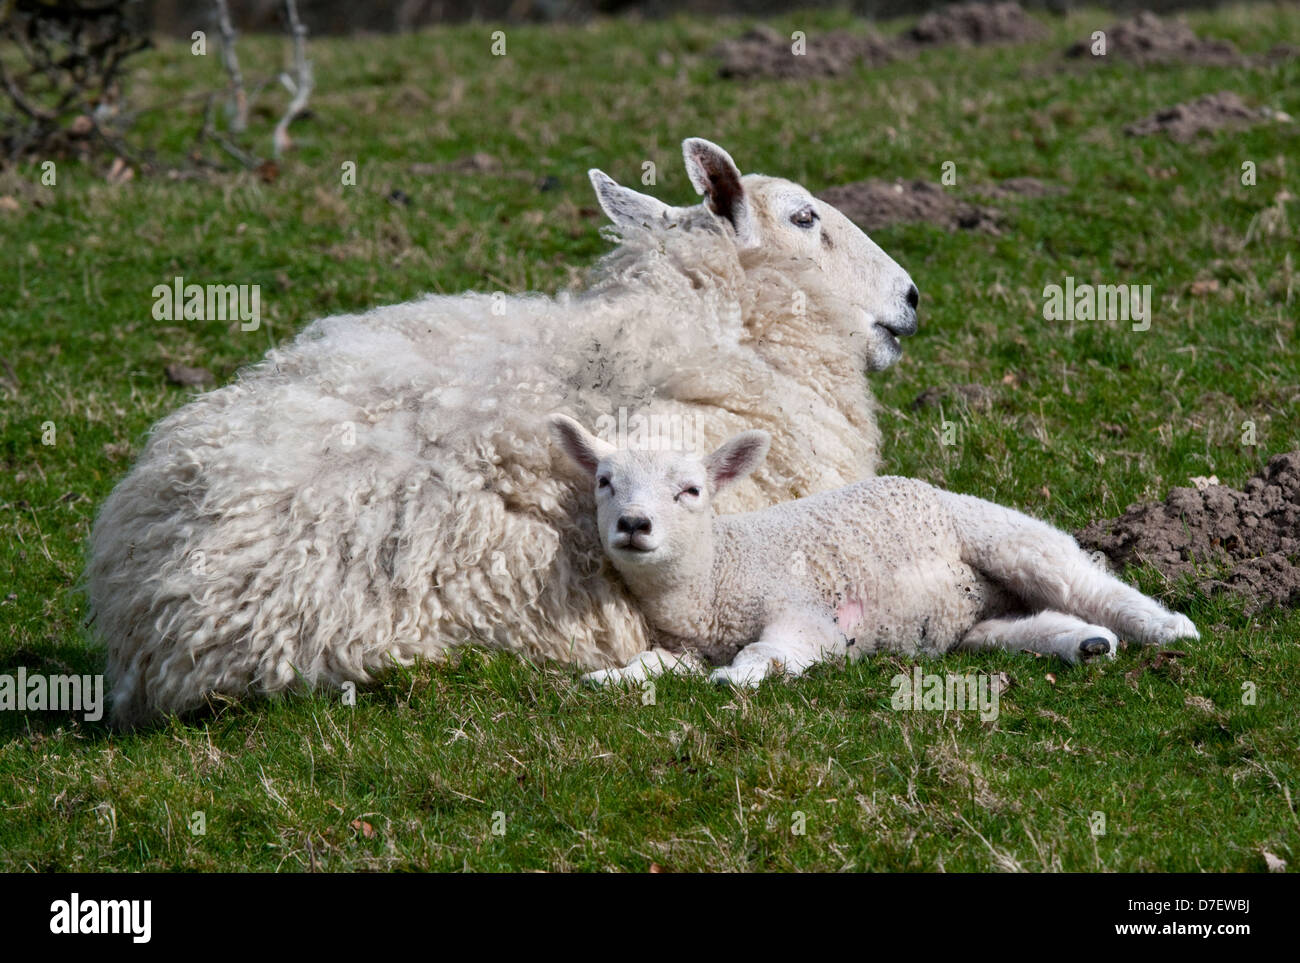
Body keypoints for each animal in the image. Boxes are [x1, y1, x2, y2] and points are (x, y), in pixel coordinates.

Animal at [548, 415, 1200, 687]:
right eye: (603, 482)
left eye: (691, 491)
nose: (634, 524)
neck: (712, 578)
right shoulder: (687, 646)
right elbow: (652, 664)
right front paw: (612, 677)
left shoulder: (801, 609)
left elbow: (775, 648)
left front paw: (743, 677)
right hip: (976, 623)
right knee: (1028, 625)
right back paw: (1087, 645)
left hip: (1006, 537)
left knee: (1085, 584)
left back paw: (1168, 628)